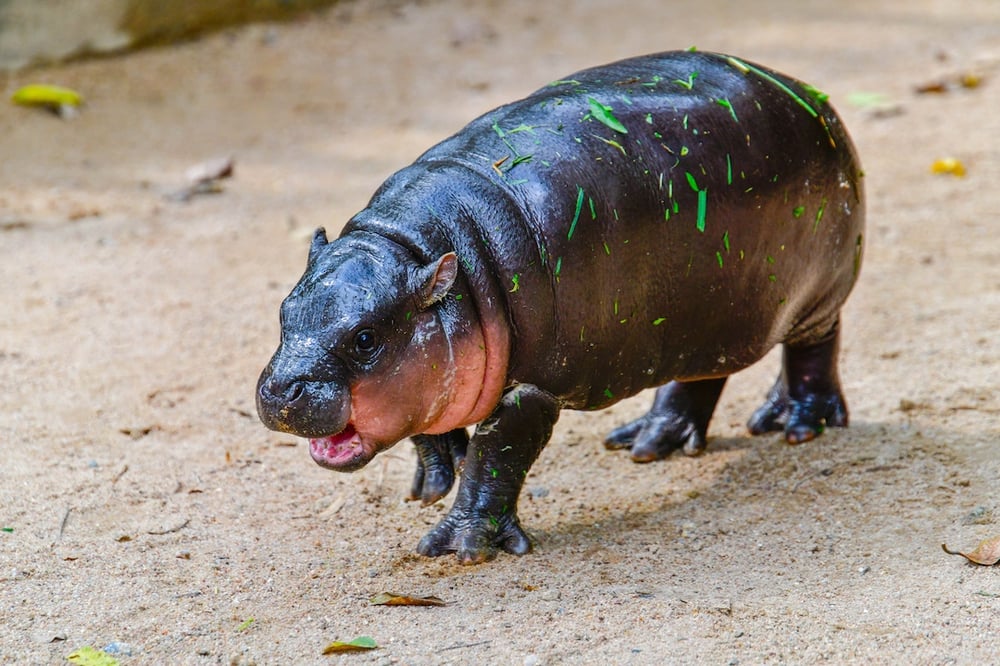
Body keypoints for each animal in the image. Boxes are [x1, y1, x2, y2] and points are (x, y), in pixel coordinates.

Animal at [257, 50, 865, 564]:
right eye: (284, 311)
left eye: (365, 339)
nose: (280, 391)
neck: (421, 248)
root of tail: (811, 96)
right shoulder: (425, 371)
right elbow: (426, 417)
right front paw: (434, 481)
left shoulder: (532, 392)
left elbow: (496, 458)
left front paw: (460, 545)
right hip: (706, 314)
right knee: (702, 375)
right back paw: (648, 441)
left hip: (816, 295)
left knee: (815, 346)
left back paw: (798, 424)